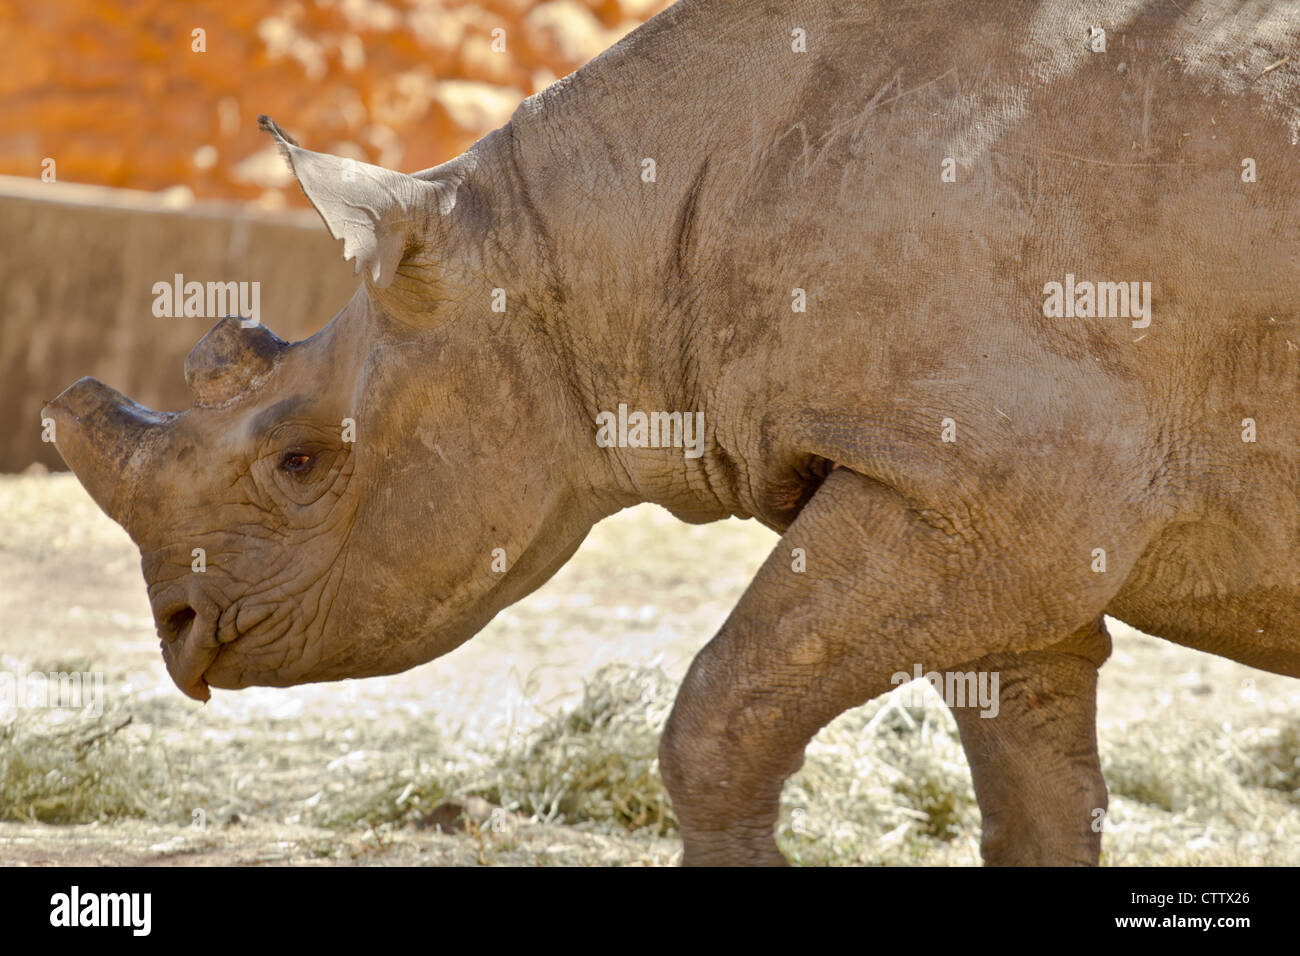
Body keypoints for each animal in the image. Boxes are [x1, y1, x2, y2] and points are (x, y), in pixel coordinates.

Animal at [43, 0, 1300, 866]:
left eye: (299, 461)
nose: (179, 631)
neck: (581, 250)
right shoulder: (982, 514)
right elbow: (1033, 791)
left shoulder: (998, 492)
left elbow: (719, 716)